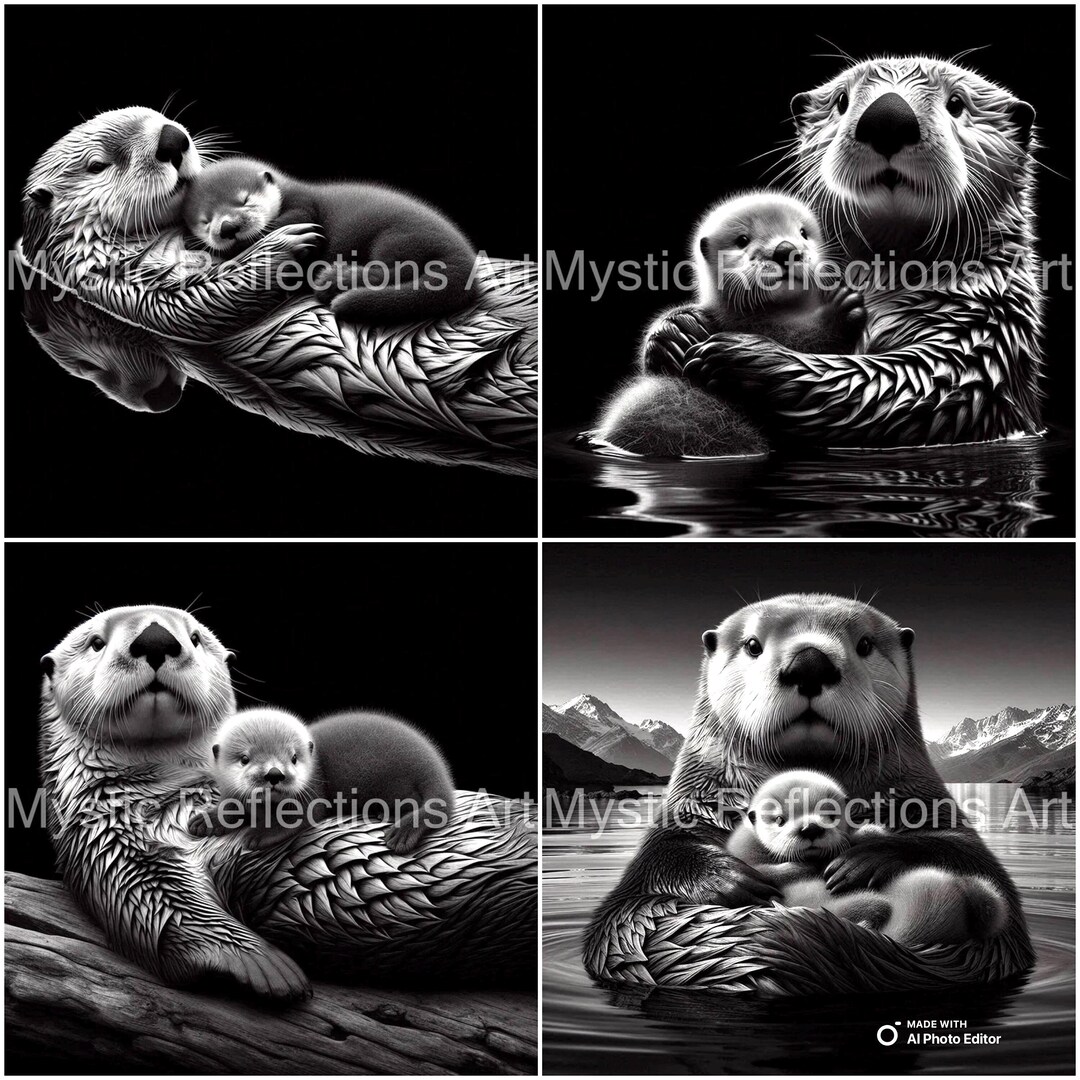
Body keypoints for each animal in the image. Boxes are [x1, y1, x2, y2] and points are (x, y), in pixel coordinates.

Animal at [39, 606, 311, 999]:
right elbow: (156, 890)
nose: (156, 639)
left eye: (195, 637)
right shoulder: (107, 830)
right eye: (96, 642)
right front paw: (263, 965)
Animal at [182, 158, 478, 325]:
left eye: (244, 200)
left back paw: (334, 280)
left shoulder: (302, 206)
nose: (228, 227)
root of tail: (462, 254)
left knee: (395, 269)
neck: (289, 192)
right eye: (206, 220)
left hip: (399, 236)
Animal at [583, 593, 1033, 992]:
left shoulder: (923, 798)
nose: (809, 663)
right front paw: (730, 878)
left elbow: (968, 854)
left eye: (865, 644)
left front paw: (864, 860)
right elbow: (659, 857)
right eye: (752, 644)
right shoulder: (695, 800)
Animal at [597, 57, 1043, 454]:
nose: (888, 117)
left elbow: (911, 385)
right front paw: (676, 330)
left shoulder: (983, 328)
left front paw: (738, 357)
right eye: (842, 101)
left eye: (957, 103)